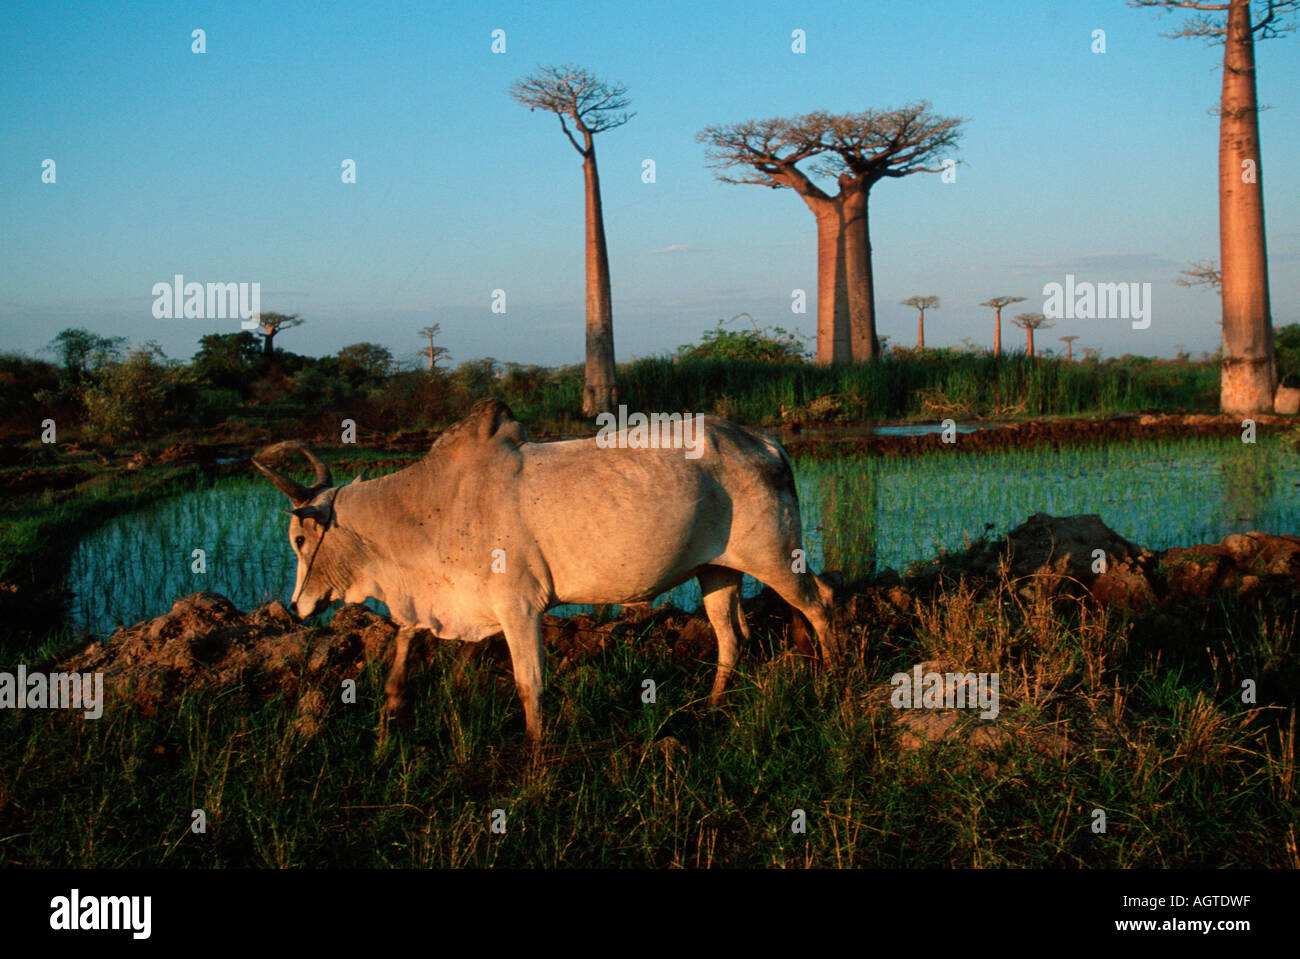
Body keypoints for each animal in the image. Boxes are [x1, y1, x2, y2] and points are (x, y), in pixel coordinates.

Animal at [253, 399, 839, 746]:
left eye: (300, 539)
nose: (297, 606)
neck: (429, 508)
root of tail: (765, 441)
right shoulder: (431, 606)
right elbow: (402, 651)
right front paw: (391, 717)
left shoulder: (518, 607)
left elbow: (530, 684)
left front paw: (536, 756)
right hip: (717, 570)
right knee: (731, 637)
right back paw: (712, 708)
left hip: (776, 558)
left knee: (821, 604)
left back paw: (834, 681)